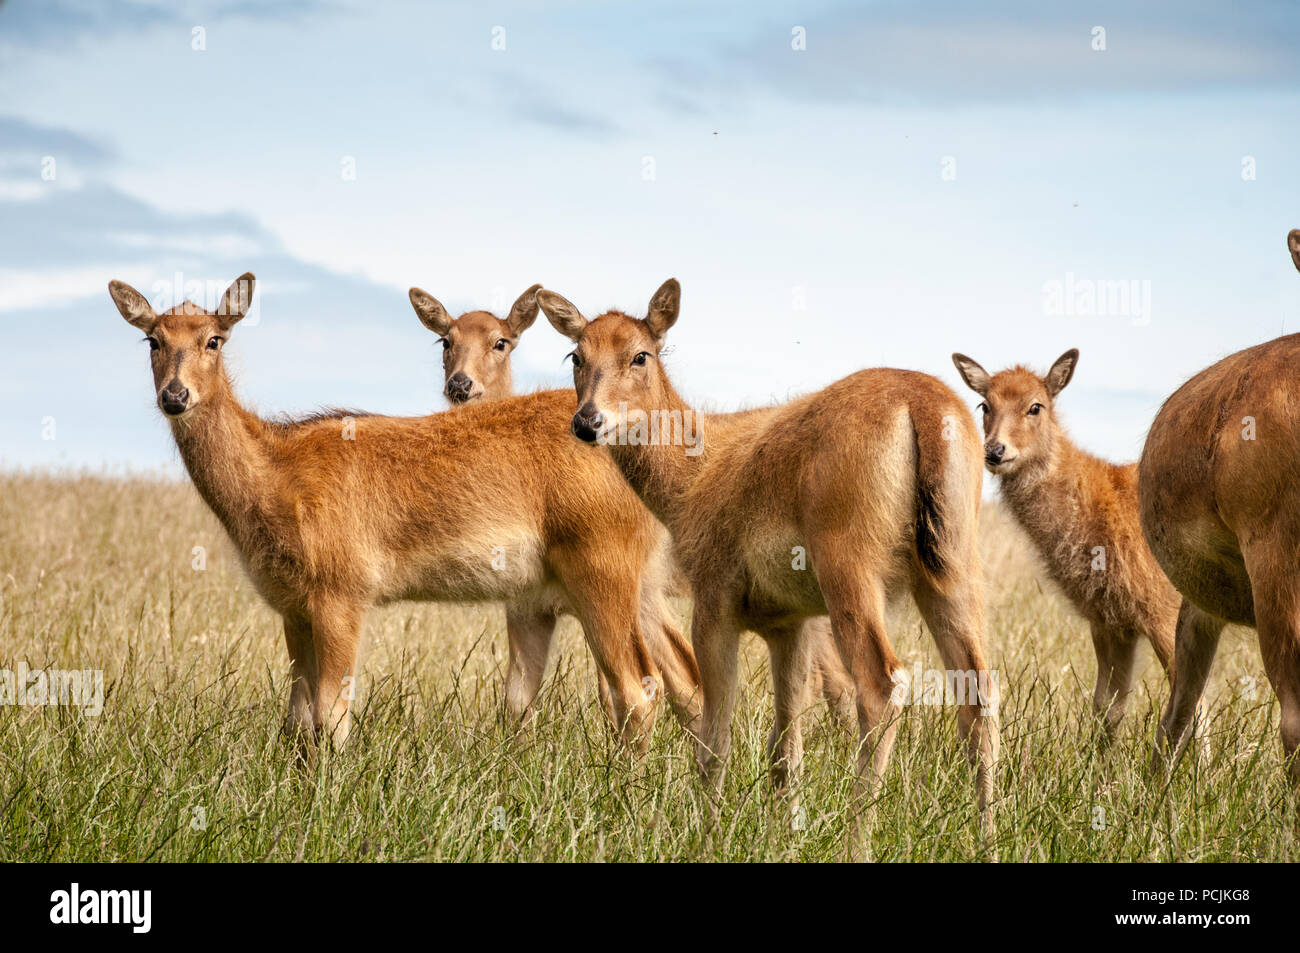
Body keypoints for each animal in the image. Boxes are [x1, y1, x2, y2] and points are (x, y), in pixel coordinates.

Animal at [106, 272, 703, 753]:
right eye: (153, 338)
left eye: (214, 338)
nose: (175, 395)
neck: (275, 480)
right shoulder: (292, 607)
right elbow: (296, 721)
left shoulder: (343, 591)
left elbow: (332, 716)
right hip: (634, 582)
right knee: (681, 675)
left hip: (601, 567)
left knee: (635, 688)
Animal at [536, 279, 999, 835]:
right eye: (576, 355)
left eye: (640, 355)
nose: (587, 421)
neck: (688, 485)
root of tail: (924, 405)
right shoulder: (788, 620)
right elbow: (785, 748)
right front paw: (787, 829)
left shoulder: (714, 596)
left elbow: (716, 739)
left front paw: (707, 832)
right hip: (954, 562)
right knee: (979, 690)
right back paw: (987, 836)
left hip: (850, 559)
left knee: (883, 684)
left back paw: (856, 837)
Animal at [951, 350, 1181, 739]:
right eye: (985, 404)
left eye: (1035, 406)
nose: (995, 451)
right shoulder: (1109, 621)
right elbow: (1107, 707)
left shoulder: (1163, 608)